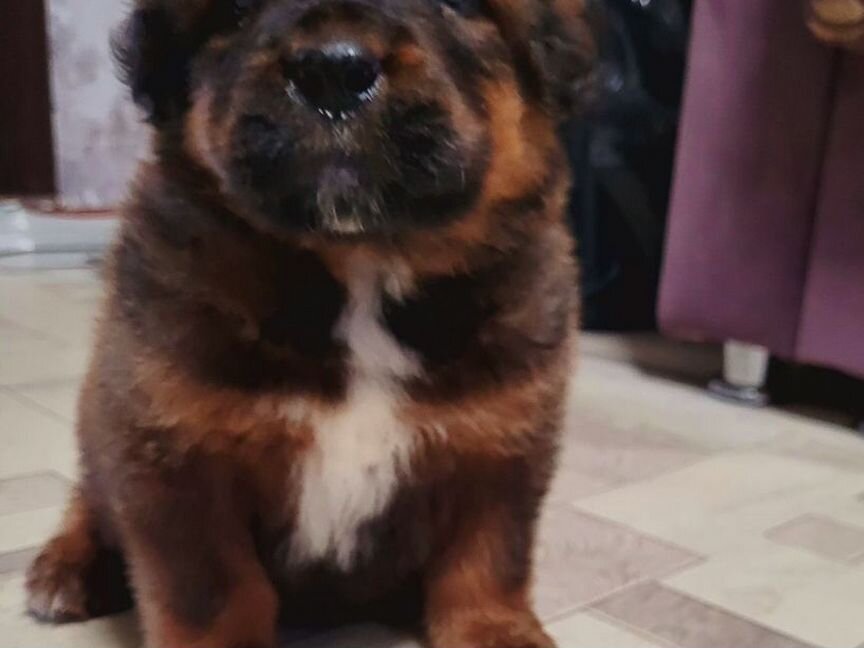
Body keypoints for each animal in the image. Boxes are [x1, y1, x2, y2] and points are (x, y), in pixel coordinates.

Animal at [25, 1, 594, 646]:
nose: (333, 73)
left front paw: (495, 630)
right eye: (238, 12)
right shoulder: (173, 447)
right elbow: (215, 589)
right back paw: (66, 567)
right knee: (90, 497)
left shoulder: (501, 446)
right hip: (99, 419)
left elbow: (488, 556)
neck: (363, 265)